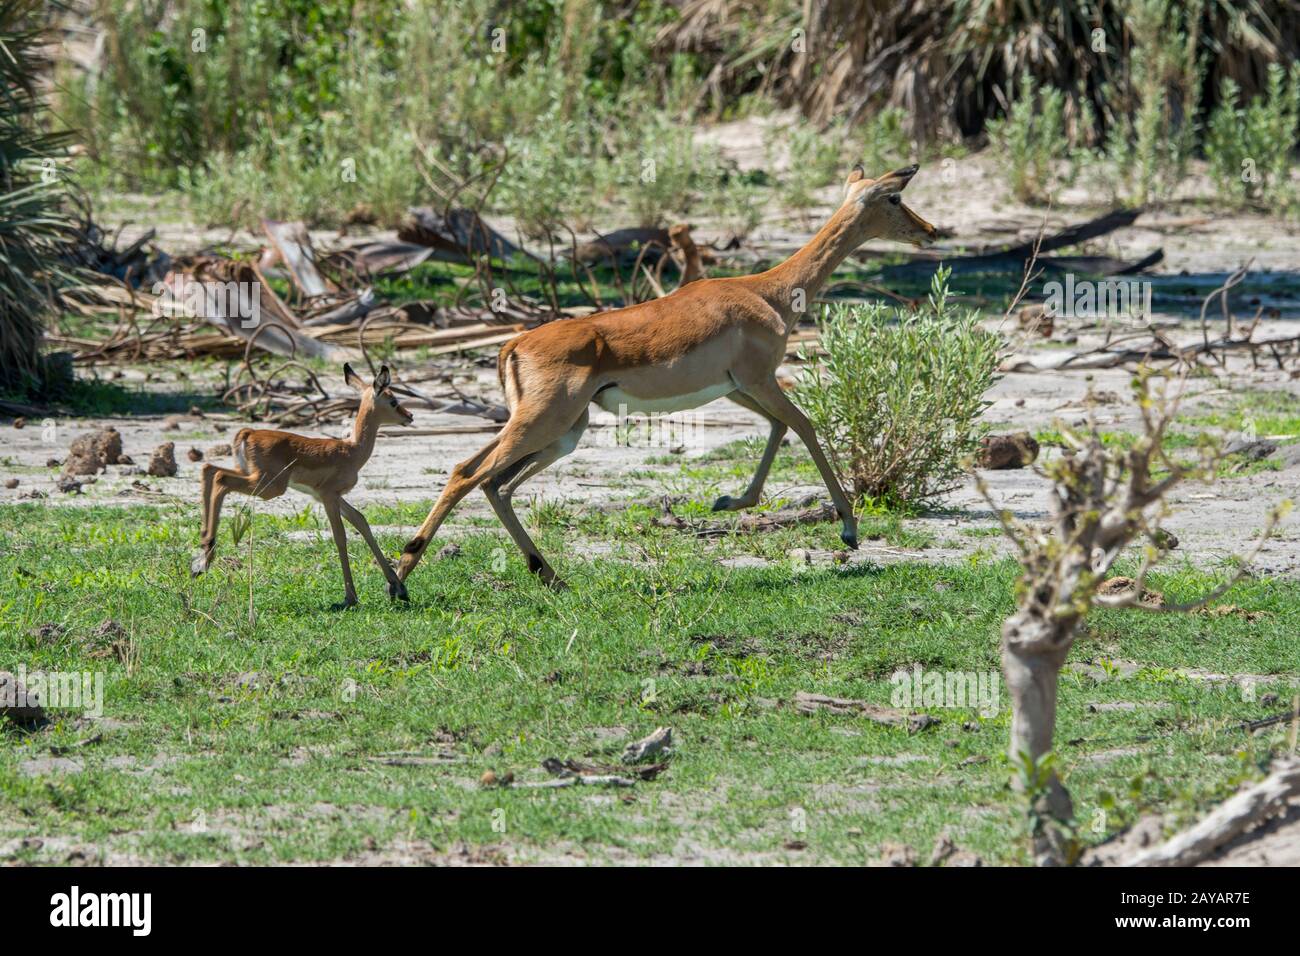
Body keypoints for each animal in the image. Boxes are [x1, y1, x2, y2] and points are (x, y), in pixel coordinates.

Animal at [192, 364, 415, 609]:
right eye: (393, 400)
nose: (410, 416)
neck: (351, 450)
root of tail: (248, 433)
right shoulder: (328, 496)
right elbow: (340, 536)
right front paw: (350, 597)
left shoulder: (330, 496)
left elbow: (361, 521)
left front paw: (399, 587)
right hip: (268, 486)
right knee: (221, 479)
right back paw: (206, 556)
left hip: (251, 476)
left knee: (209, 469)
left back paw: (202, 551)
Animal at [396, 163, 937, 591]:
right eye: (894, 196)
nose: (931, 229)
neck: (770, 292)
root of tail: (514, 345)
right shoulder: (760, 380)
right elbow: (804, 425)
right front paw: (848, 530)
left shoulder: (737, 390)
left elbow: (780, 427)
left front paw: (728, 500)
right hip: (544, 423)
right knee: (469, 474)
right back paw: (401, 578)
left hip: (561, 430)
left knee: (493, 483)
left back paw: (548, 574)